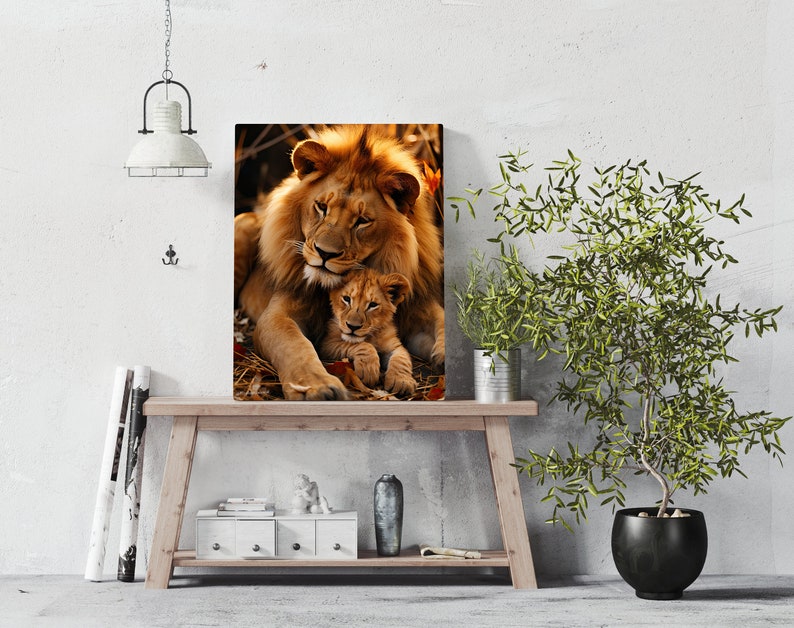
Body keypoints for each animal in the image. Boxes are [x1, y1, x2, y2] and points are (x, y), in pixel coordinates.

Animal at [320, 268, 416, 396]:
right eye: (346, 299)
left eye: (373, 305)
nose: (353, 326)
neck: (370, 335)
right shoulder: (326, 345)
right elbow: (361, 345)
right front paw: (368, 371)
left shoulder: (394, 345)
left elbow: (401, 359)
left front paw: (402, 381)